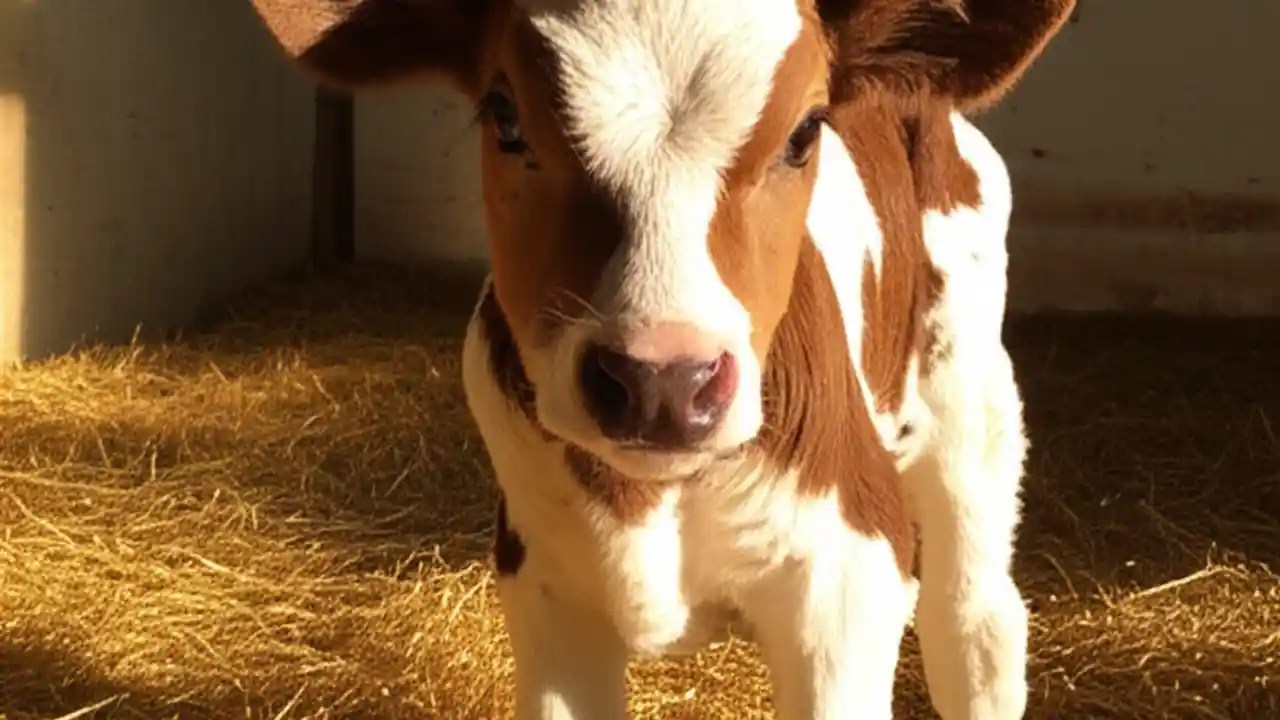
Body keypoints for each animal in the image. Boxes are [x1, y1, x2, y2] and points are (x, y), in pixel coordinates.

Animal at [249, 1, 1073, 718]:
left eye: (804, 132)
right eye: (505, 118)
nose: (662, 382)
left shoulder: (848, 578)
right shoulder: (545, 589)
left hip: (968, 386)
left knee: (973, 620)